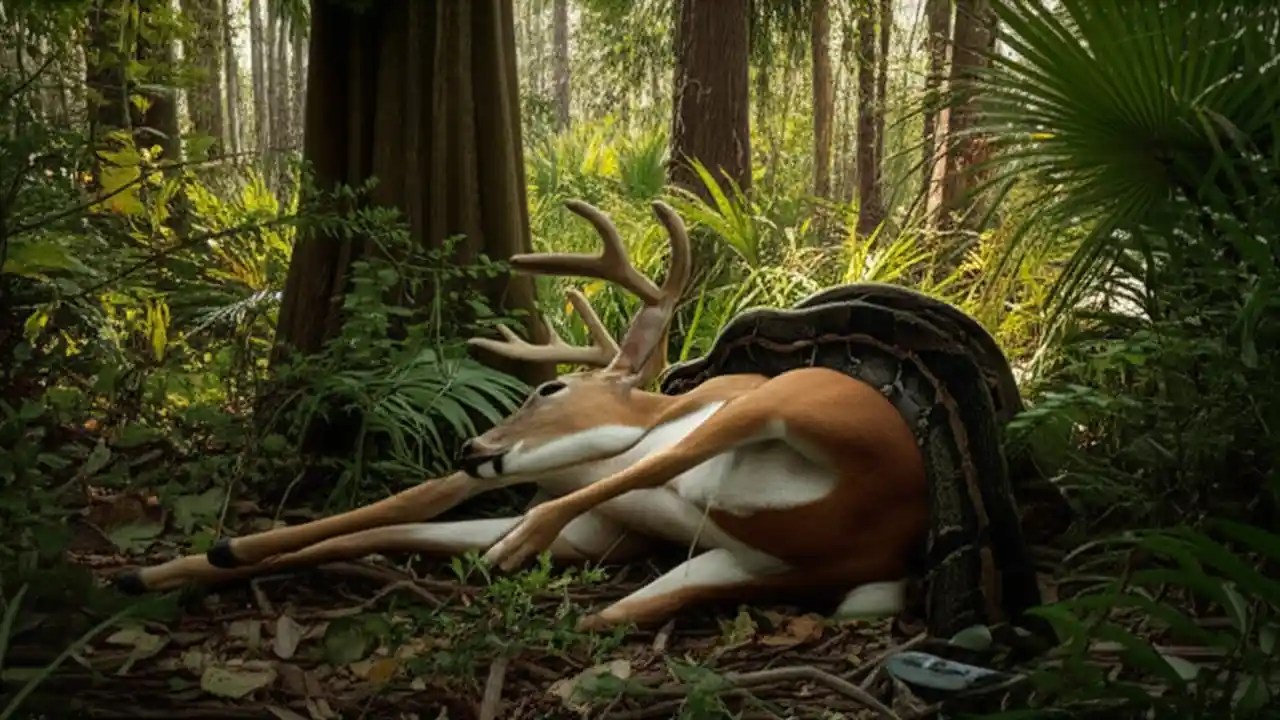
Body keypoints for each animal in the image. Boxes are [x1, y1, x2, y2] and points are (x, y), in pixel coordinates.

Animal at [116, 199, 930, 632]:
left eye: (548, 390)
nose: (474, 447)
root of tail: (894, 528)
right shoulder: (602, 537)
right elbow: (382, 526)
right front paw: (175, 566)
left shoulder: (747, 397)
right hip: (711, 567)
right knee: (605, 604)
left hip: (796, 403)